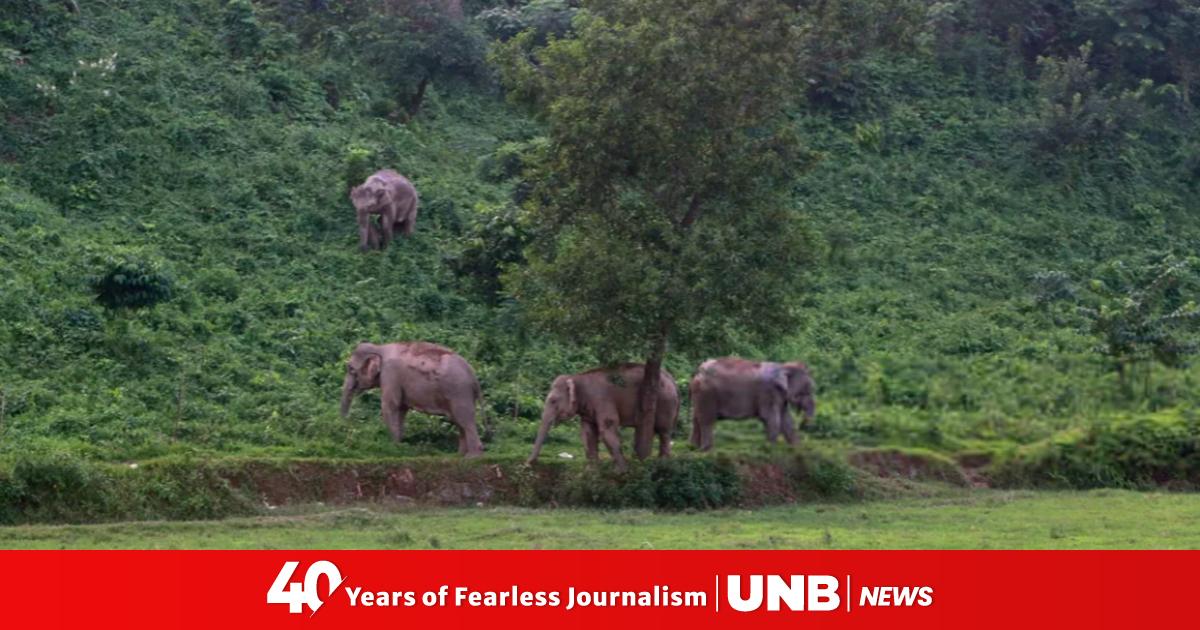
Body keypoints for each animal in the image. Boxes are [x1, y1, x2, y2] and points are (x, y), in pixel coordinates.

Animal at [340, 341, 484, 457]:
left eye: (351, 369)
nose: (345, 425)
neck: (379, 347)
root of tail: (474, 377)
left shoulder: (390, 374)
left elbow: (390, 406)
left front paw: (394, 449)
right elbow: (401, 409)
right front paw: (398, 447)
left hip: (459, 392)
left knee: (464, 420)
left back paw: (472, 457)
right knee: (459, 421)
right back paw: (458, 455)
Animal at [528, 363, 679, 470]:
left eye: (553, 401)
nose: (529, 464)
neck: (577, 377)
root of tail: (672, 379)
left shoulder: (602, 400)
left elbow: (607, 429)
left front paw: (621, 471)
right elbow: (587, 432)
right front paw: (592, 470)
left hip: (665, 401)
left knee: (663, 430)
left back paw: (662, 463)